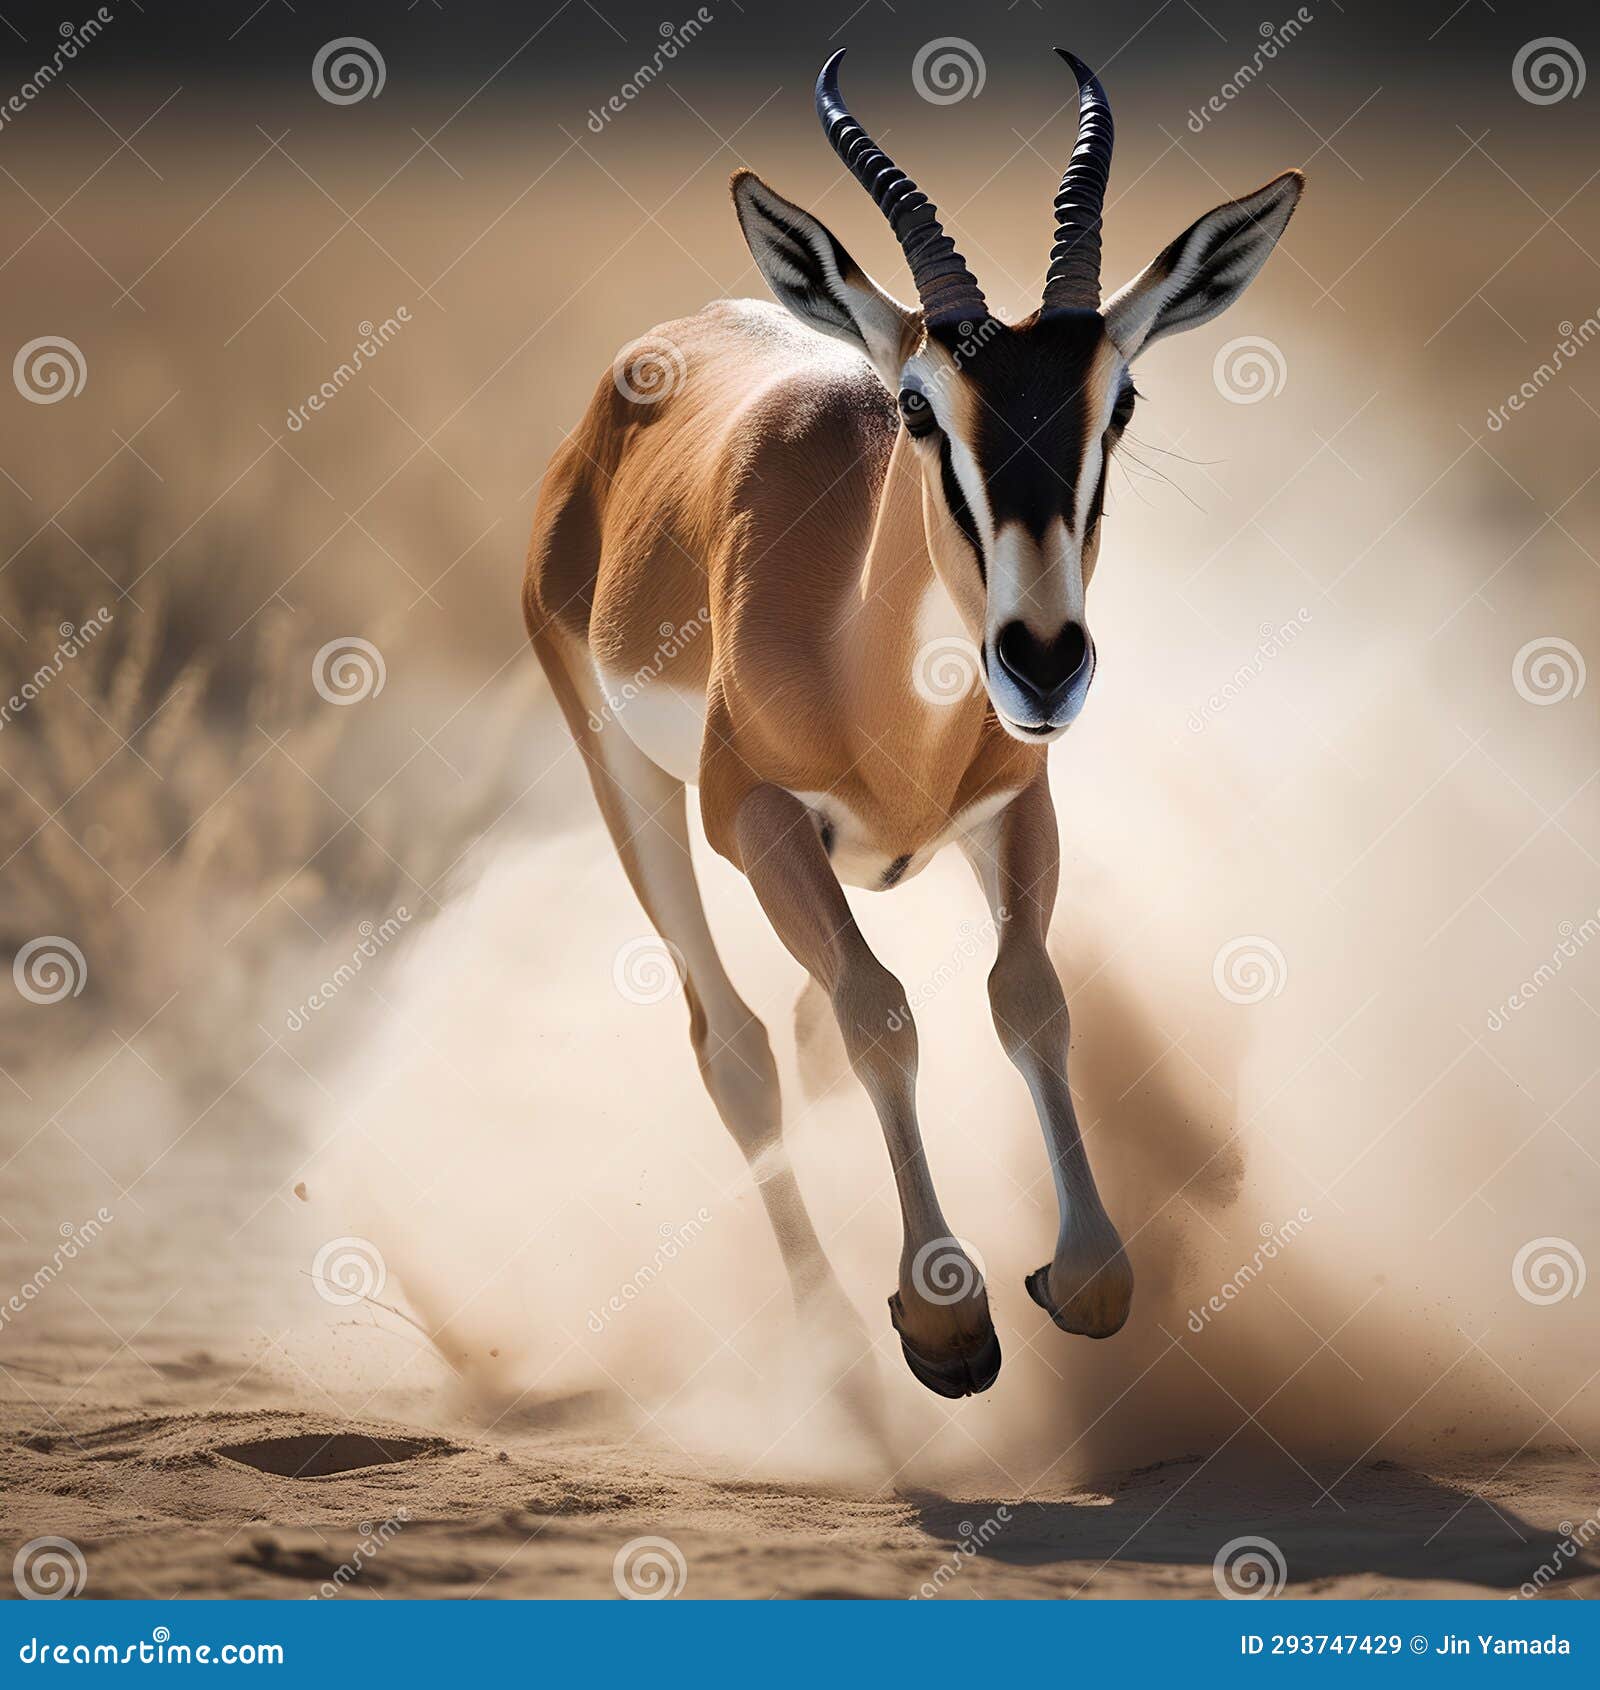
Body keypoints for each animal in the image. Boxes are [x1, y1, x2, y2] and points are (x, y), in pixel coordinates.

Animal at [524, 49, 1303, 1399]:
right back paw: (832, 1350)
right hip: (632, 786)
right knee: (735, 1044)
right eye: (922, 407)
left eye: (1118, 402)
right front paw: (942, 1317)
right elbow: (881, 1012)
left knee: (798, 1028)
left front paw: (1074, 1273)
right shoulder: (756, 819)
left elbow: (1028, 997)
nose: (1042, 663)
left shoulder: (1014, 808)